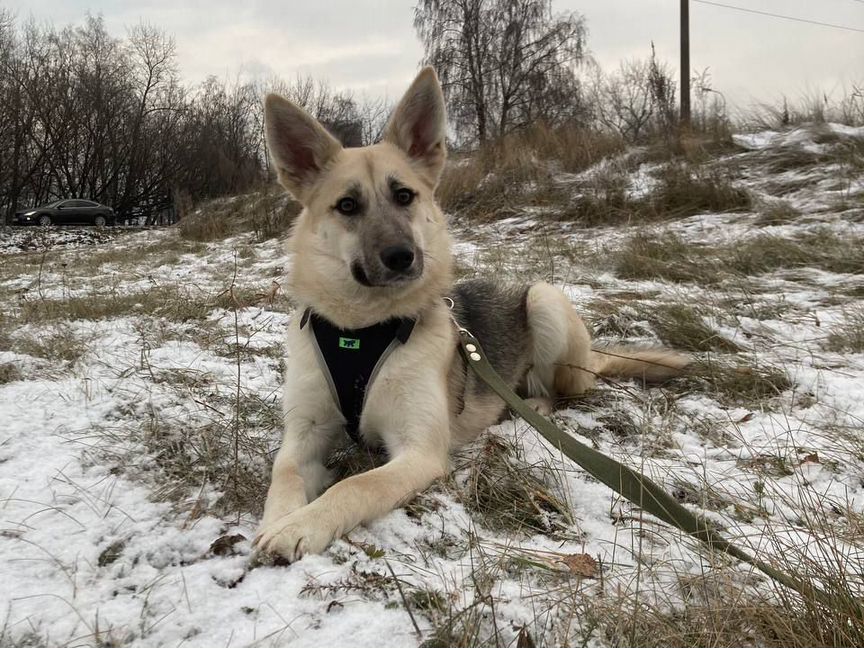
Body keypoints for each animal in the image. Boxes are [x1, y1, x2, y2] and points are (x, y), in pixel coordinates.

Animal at [251, 67, 688, 560]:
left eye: (404, 196)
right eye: (347, 205)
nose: (402, 257)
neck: (363, 329)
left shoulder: (418, 453)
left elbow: (355, 486)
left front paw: (301, 525)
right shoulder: (303, 436)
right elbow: (284, 476)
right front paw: (280, 520)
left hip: (544, 300)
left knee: (560, 390)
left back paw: (528, 405)